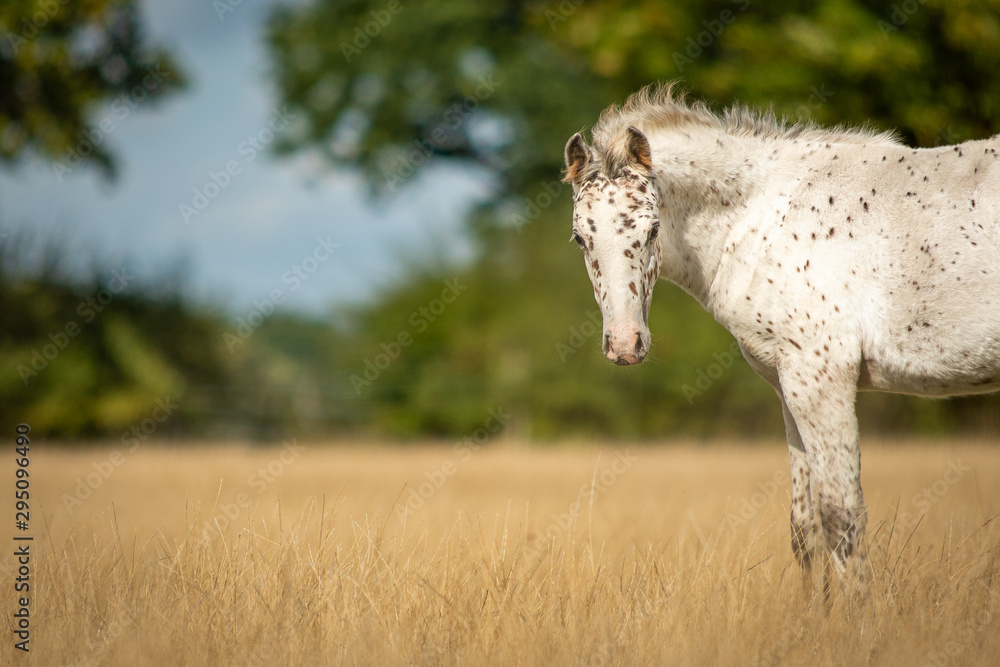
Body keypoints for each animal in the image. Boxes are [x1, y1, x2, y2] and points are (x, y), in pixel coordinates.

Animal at [562, 83, 1000, 591]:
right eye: (580, 238)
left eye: (652, 229)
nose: (625, 345)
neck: (764, 218)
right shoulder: (787, 385)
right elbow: (805, 527)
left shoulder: (822, 377)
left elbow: (841, 517)